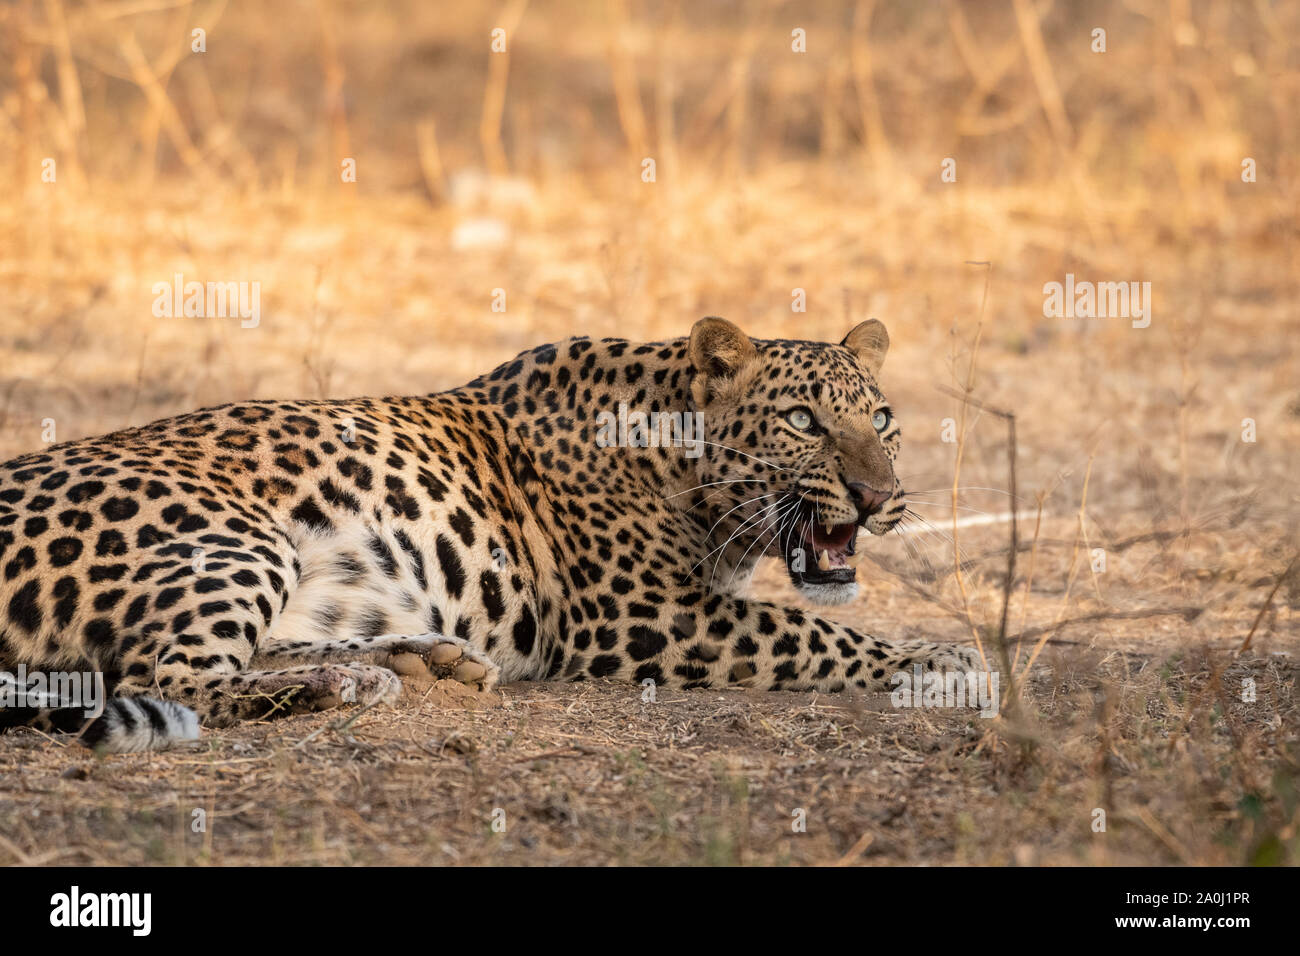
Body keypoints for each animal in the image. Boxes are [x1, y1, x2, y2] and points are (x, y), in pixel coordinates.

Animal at [0, 316, 983, 752]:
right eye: (804, 422)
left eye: (881, 419)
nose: (878, 496)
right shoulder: (645, 619)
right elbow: (813, 630)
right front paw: (941, 661)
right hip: (234, 537)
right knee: (168, 679)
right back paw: (343, 683)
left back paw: (415, 661)